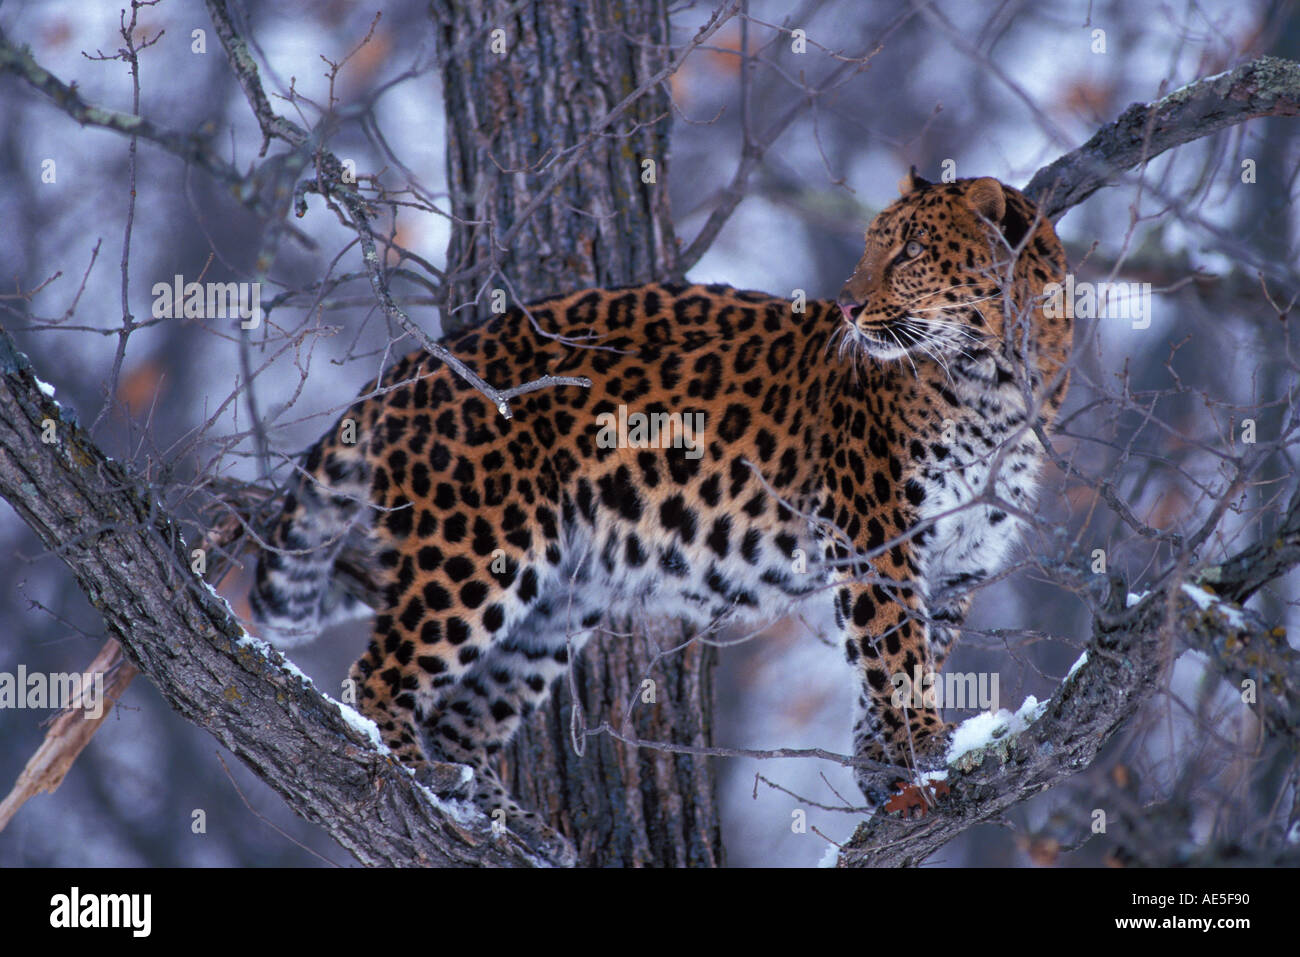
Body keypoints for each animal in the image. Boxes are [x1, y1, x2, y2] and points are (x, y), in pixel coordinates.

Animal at [249, 172, 1070, 858]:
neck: (998, 382)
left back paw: (508, 820)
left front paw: (885, 765)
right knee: (377, 674)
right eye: (875, 243)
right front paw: (924, 746)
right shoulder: (873, 530)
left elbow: (917, 652)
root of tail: (408, 366)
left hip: (559, 597)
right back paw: (413, 774)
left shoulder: (959, 561)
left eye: (913, 250)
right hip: (478, 546)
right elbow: (894, 651)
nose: (846, 303)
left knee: (463, 717)